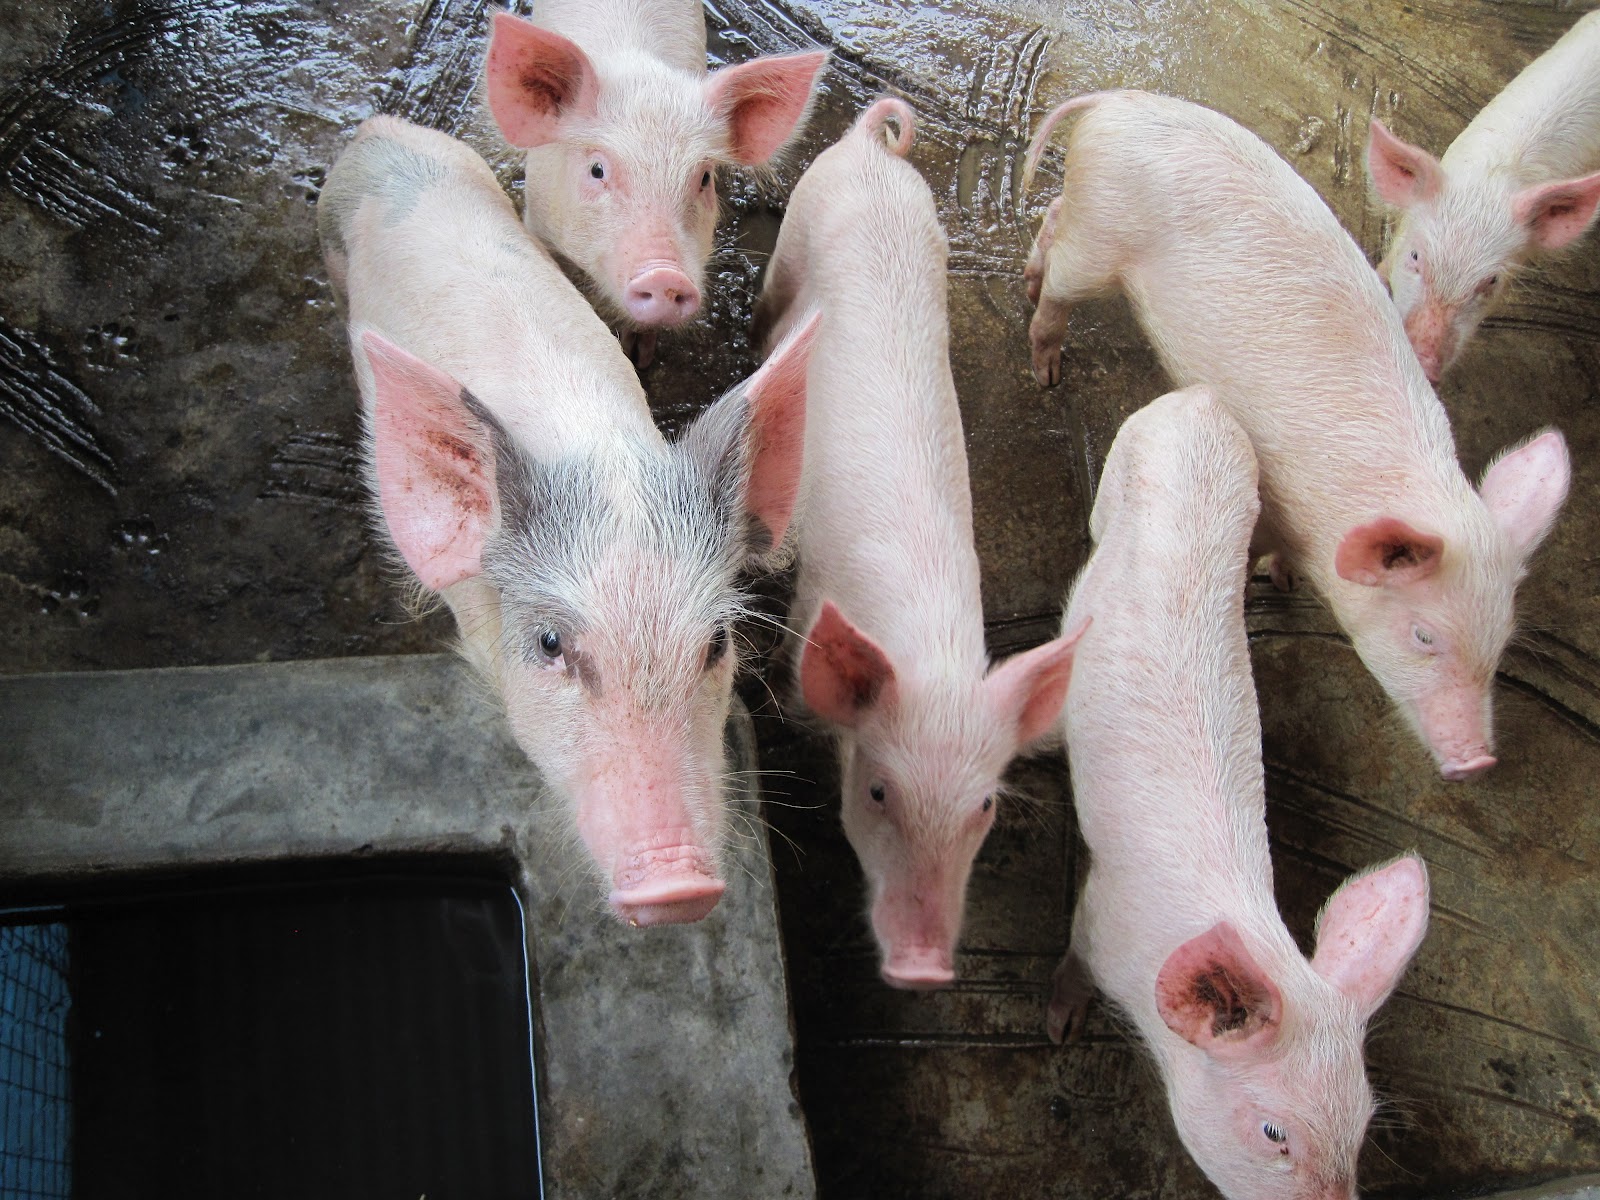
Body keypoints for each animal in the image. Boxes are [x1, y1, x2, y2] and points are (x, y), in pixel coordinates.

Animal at [755, 98, 1086, 990]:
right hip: (797, 223)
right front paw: (783, 704)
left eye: (985, 806)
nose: (925, 969)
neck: (927, 647)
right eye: (877, 792)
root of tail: (870, 148)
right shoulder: (811, 595)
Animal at [1023, 90, 1570, 782]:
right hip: (1101, 235)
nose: (1477, 762)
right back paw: (1044, 367)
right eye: (1425, 635)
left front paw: (1283, 581)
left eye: (1501, 642)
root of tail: (1119, 99)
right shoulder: (1275, 495)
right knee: (1059, 275)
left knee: (1052, 215)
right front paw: (1266, 582)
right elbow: (1257, 546)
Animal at [1048, 385, 1432, 1200]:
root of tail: (1199, 400)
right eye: (1274, 1133)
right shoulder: (1098, 917)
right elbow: (1073, 963)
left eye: (1362, 1125)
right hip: (1123, 457)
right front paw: (1058, 1028)